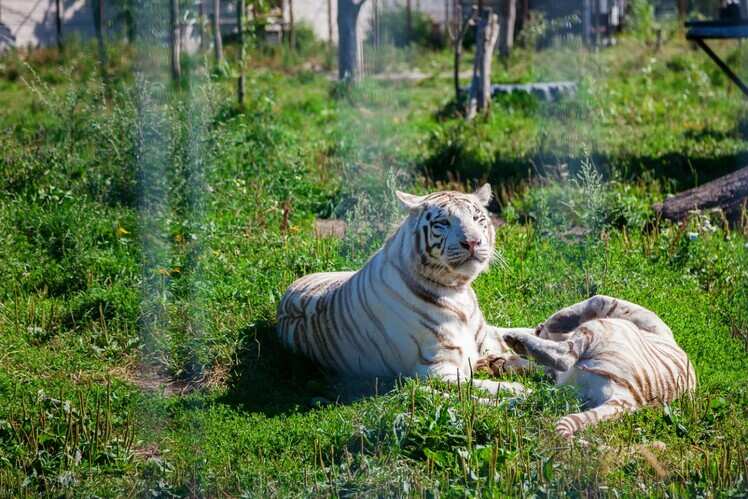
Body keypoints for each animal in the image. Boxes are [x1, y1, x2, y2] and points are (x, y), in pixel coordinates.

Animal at [277, 184, 530, 397]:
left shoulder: (484, 339)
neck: (458, 291)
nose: (473, 242)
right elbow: (475, 386)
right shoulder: (434, 369)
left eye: (478, 219)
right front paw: (518, 389)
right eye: (443, 223)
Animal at [502, 295, 697, 438]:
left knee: (564, 356)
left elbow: (578, 307)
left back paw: (515, 340)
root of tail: (631, 399)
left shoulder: (609, 305)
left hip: (600, 328)